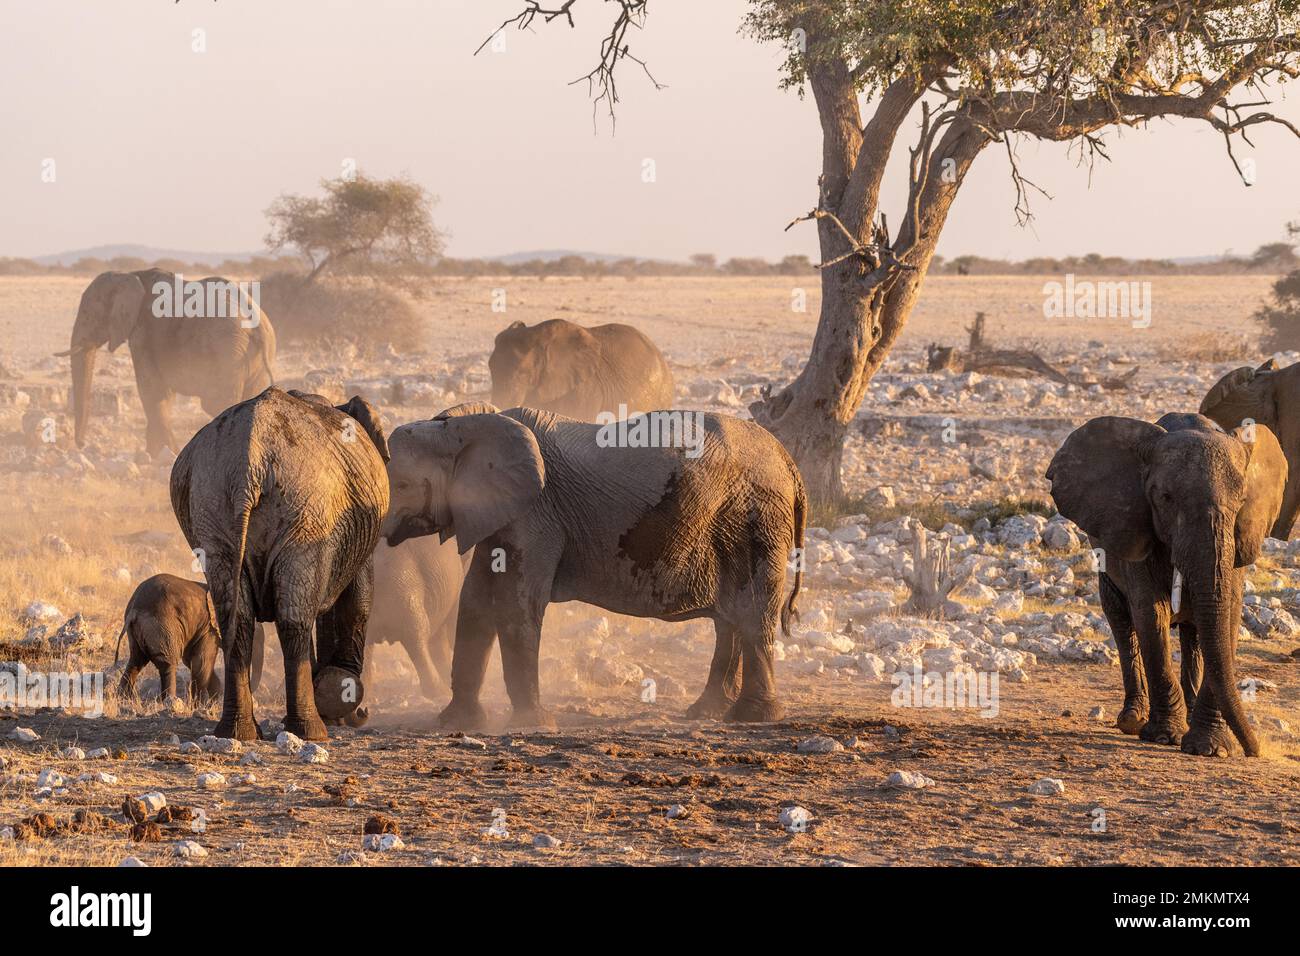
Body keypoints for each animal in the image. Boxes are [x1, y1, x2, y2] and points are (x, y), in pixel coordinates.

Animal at [57, 269, 276, 457]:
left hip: (226, 352)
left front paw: (163, 454)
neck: (130, 274)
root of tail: (258, 326)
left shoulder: (142, 334)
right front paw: (155, 453)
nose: (82, 444)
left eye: (87, 315)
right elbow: (163, 394)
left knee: (215, 403)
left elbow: (151, 390)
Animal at [114, 574, 266, 705]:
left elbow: (192, 661)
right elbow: (201, 661)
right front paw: (200, 705)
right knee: (168, 663)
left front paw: (213, 702)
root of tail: (134, 610)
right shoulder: (209, 628)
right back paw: (170, 702)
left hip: (138, 631)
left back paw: (122, 700)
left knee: (135, 662)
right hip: (162, 626)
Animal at [170, 387, 390, 741]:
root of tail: (250, 462)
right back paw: (311, 733)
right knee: (294, 621)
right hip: (305, 512)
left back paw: (238, 733)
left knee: (240, 620)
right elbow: (358, 597)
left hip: (213, 510)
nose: (362, 714)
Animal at [380, 401, 806, 730]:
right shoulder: (500, 516)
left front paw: (535, 724)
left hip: (757, 517)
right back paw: (707, 712)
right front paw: (457, 723)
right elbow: (476, 603)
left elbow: (517, 605)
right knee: (730, 618)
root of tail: (789, 462)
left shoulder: (537, 514)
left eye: (401, 486)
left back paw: (752, 717)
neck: (462, 425)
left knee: (751, 611)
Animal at [1045, 412, 1286, 757]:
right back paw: (1132, 720)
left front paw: (1210, 750)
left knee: (1195, 635)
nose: (1254, 750)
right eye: (1164, 498)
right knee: (1121, 621)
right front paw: (1165, 737)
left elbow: (1227, 617)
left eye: (1241, 500)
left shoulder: (1238, 544)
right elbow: (1150, 615)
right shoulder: (1137, 529)